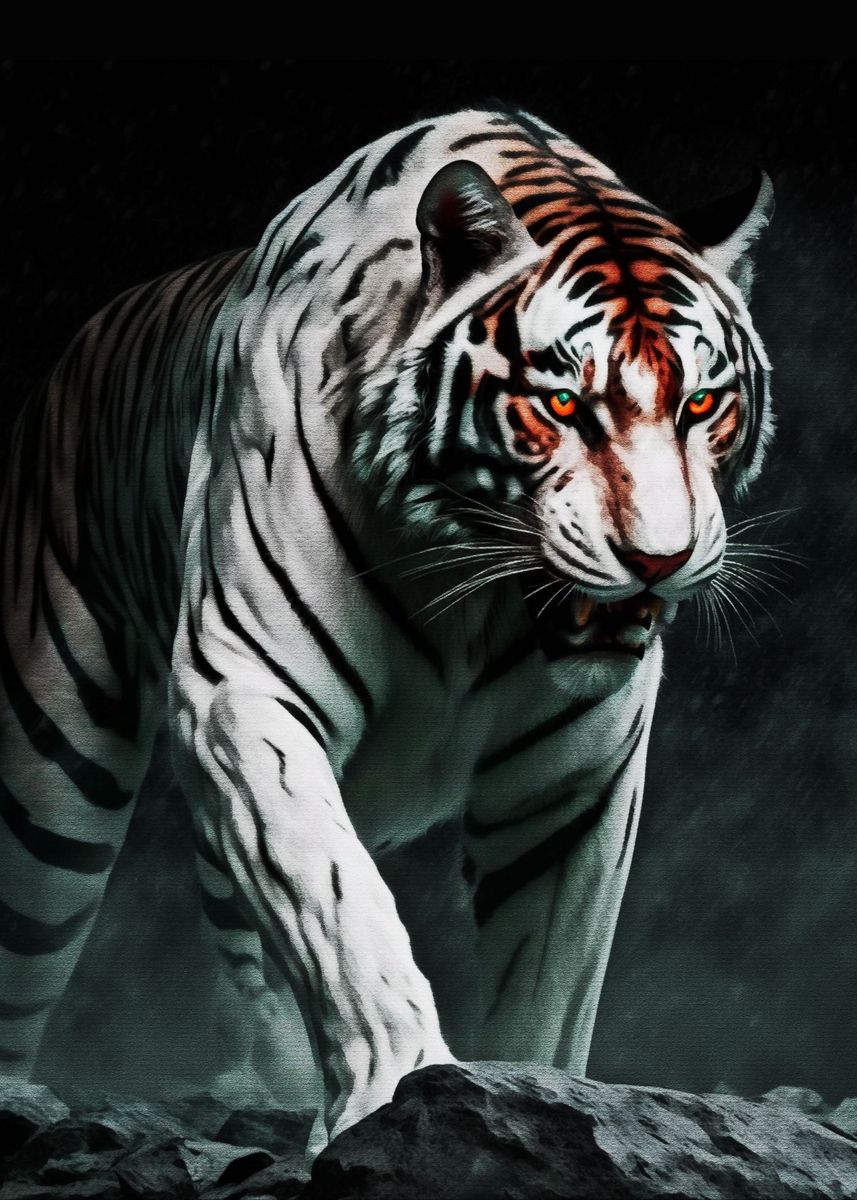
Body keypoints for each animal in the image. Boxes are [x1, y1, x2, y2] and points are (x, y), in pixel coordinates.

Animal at [0, 106, 774, 1153]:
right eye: (562, 404)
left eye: (699, 402)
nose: (658, 557)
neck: (475, 601)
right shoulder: (244, 690)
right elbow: (338, 901)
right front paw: (396, 1096)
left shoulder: (575, 778)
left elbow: (547, 989)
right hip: (48, 806)